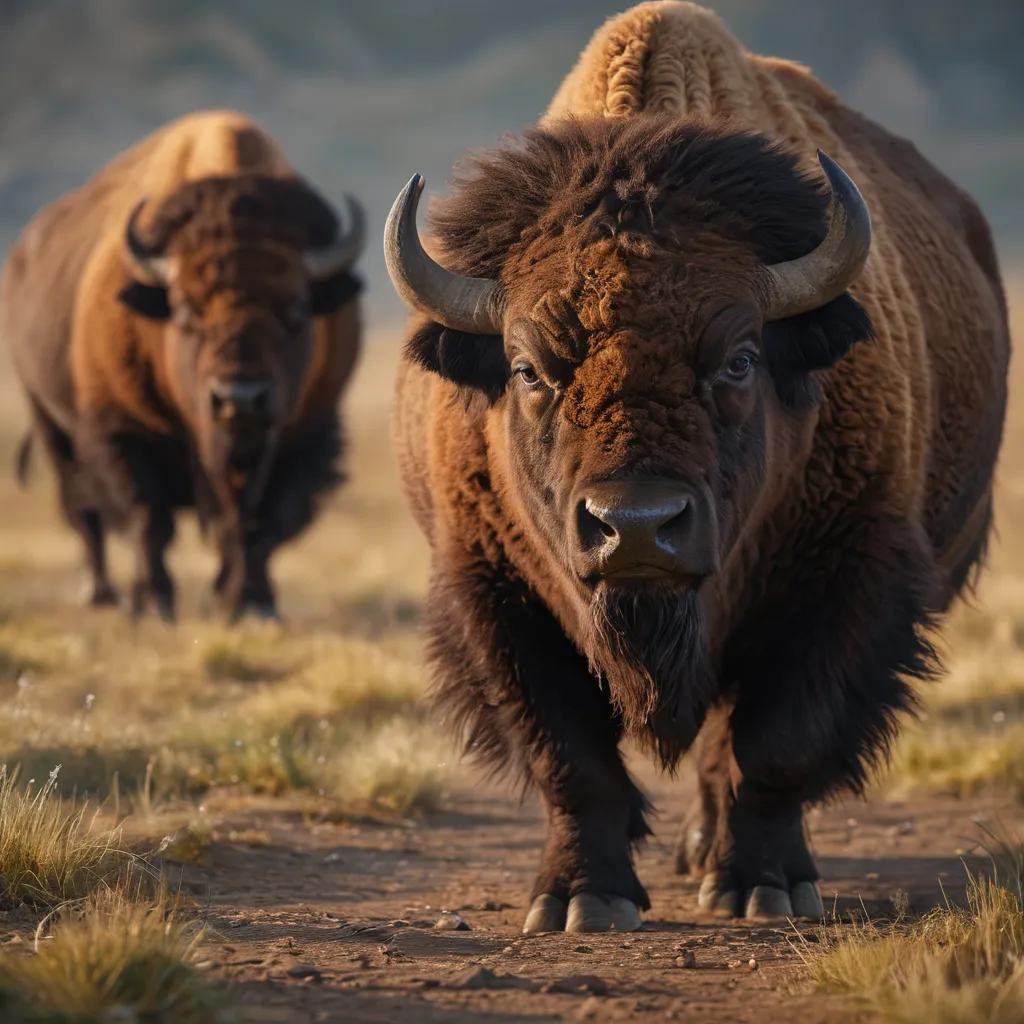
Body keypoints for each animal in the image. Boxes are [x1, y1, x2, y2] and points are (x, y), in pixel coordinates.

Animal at [1, 110, 365, 621]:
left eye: (296, 310)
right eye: (186, 310)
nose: (240, 399)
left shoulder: (304, 436)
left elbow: (258, 523)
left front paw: (249, 603)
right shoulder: (123, 431)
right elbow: (149, 518)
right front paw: (154, 605)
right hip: (48, 418)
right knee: (83, 509)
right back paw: (101, 595)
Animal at [384, 2, 1010, 931]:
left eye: (740, 358)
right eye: (529, 368)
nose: (635, 527)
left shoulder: (846, 581)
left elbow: (777, 745)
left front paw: (763, 886)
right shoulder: (492, 592)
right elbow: (568, 756)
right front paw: (581, 899)